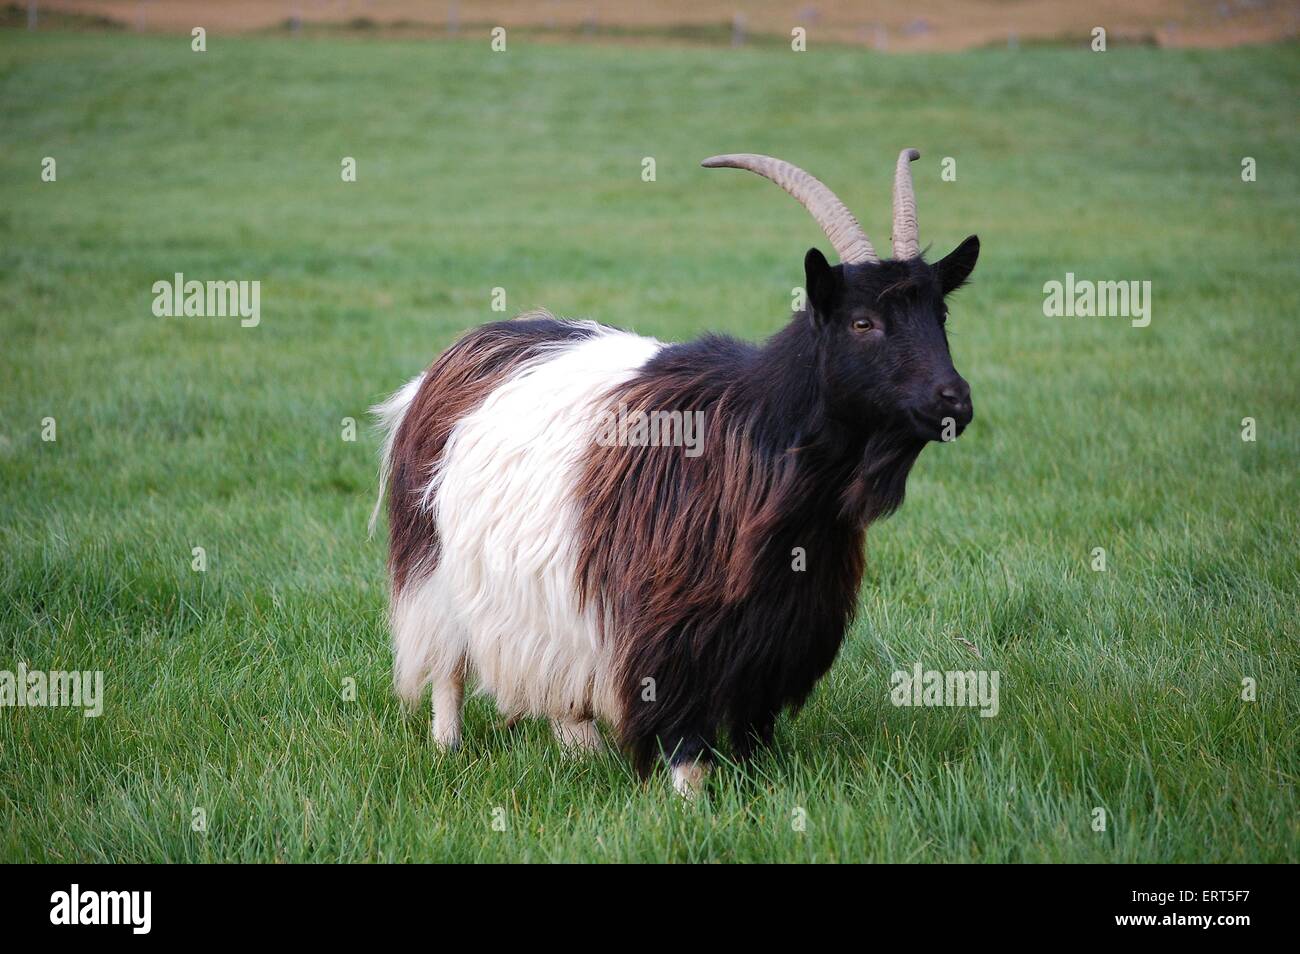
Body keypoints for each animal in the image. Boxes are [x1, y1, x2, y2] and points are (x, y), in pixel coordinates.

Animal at [372, 150, 980, 796]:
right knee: (447, 664)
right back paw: (448, 748)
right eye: (862, 322)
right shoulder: (668, 623)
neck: (755, 432)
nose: (954, 400)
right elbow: (682, 730)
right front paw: (691, 799)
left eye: (940, 312)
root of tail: (446, 363)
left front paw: (754, 787)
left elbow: (752, 726)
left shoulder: (776, 630)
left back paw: (580, 748)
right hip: (434, 563)